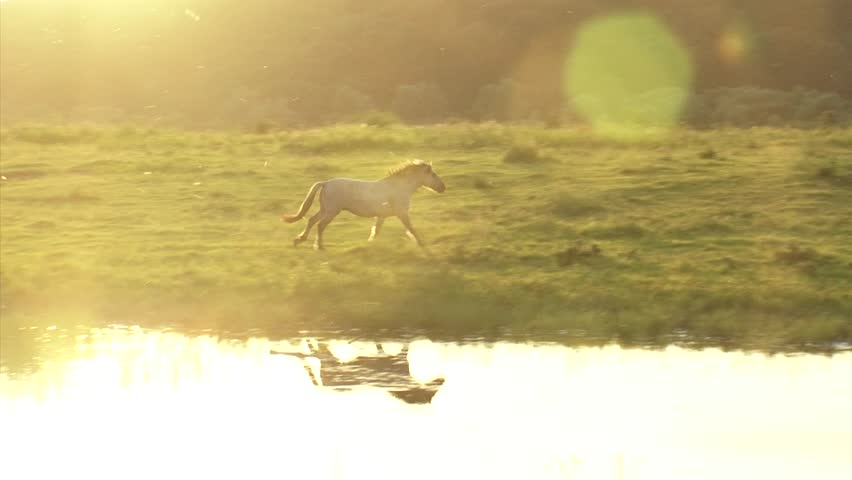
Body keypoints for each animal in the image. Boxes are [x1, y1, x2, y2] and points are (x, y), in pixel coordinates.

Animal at [281, 159, 446, 250]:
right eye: (433, 174)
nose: (443, 187)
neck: (399, 187)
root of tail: (326, 183)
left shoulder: (382, 216)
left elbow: (376, 231)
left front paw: (370, 244)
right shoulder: (402, 213)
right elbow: (411, 229)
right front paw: (422, 244)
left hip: (325, 209)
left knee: (311, 220)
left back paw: (299, 240)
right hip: (331, 211)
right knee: (320, 225)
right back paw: (320, 247)